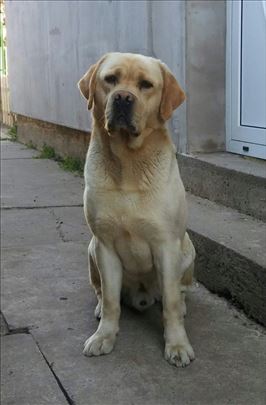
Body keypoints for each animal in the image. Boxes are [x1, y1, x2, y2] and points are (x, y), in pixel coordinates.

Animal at [78, 52, 194, 366]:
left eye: (146, 85)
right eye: (110, 79)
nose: (122, 98)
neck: (127, 162)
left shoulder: (166, 244)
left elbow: (170, 301)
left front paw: (177, 344)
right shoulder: (104, 244)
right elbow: (110, 300)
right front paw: (104, 336)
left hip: (187, 249)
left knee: (177, 293)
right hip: (91, 249)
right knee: (101, 291)